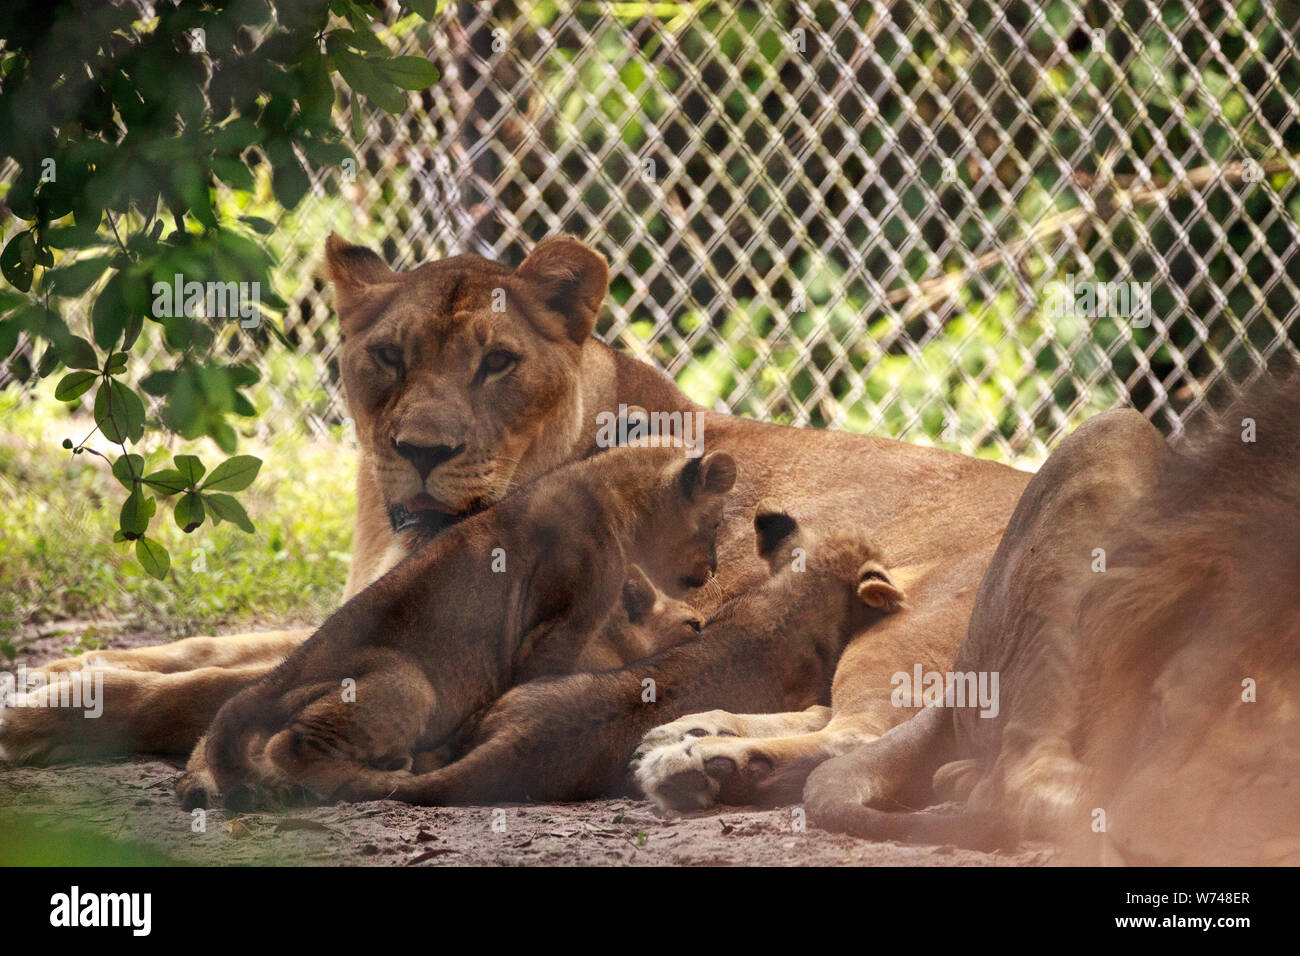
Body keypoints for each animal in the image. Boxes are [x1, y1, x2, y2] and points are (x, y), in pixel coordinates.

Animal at [1, 234, 1029, 815]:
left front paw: (41, 712)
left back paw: (701, 764)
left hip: (914, 622)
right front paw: (60, 668)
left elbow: (207, 690)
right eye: (387, 355)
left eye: (497, 362)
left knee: (861, 741)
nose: (420, 450)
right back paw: (691, 744)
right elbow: (206, 651)